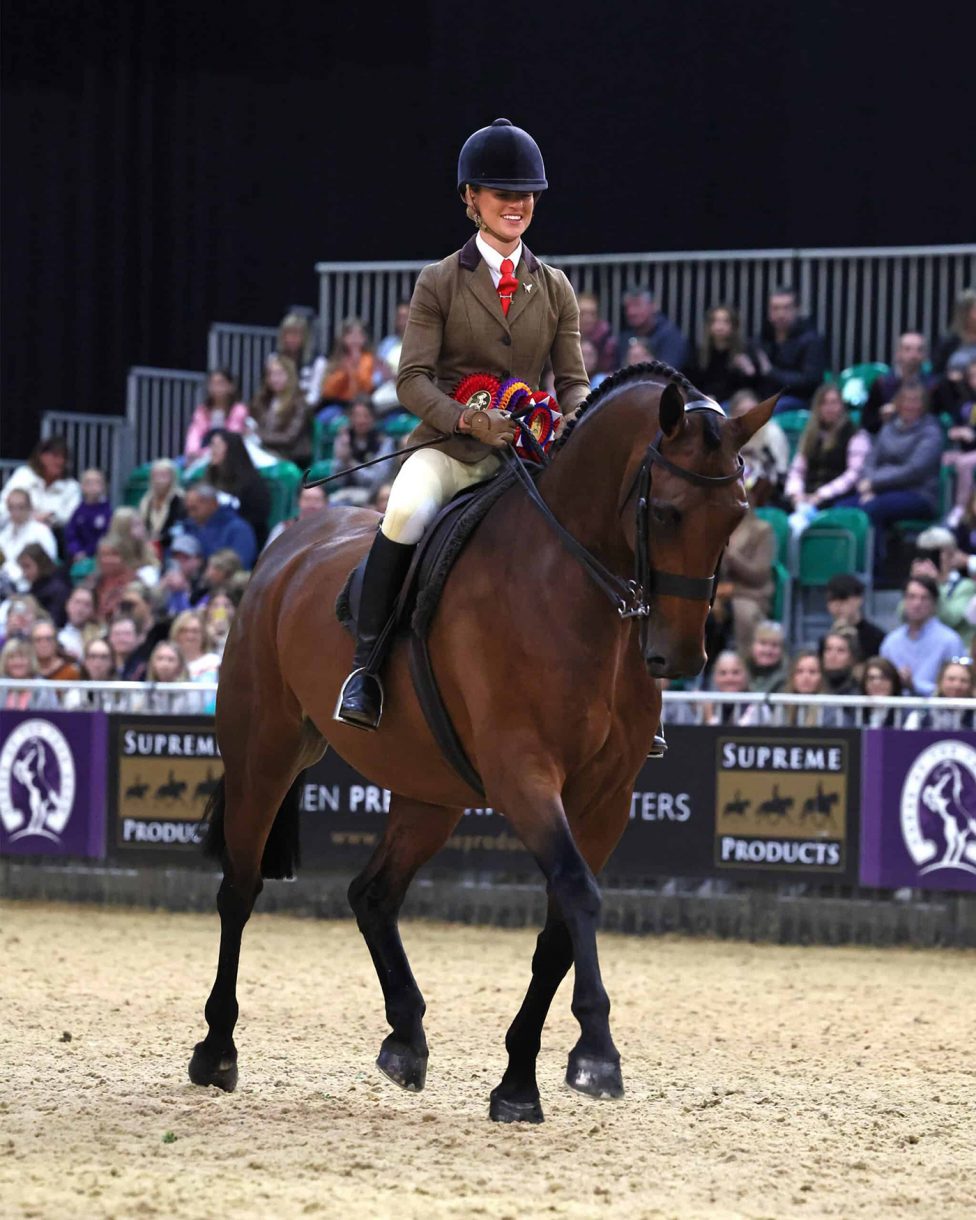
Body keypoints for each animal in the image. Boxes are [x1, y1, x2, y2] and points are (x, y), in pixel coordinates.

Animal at [188, 361, 775, 1123]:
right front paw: (595, 1055)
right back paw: (216, 1050)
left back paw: (405, 1038)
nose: (680, 657)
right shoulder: (523, 774)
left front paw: (519, 1081)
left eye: (736, 515)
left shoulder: (607, 800)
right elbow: (577, 894)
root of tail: (288, 547)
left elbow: (558, 930)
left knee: (372, 893)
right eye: (668, 511)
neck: (571, 590)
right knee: (240, 887)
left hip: (427, 791)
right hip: (264, 750)